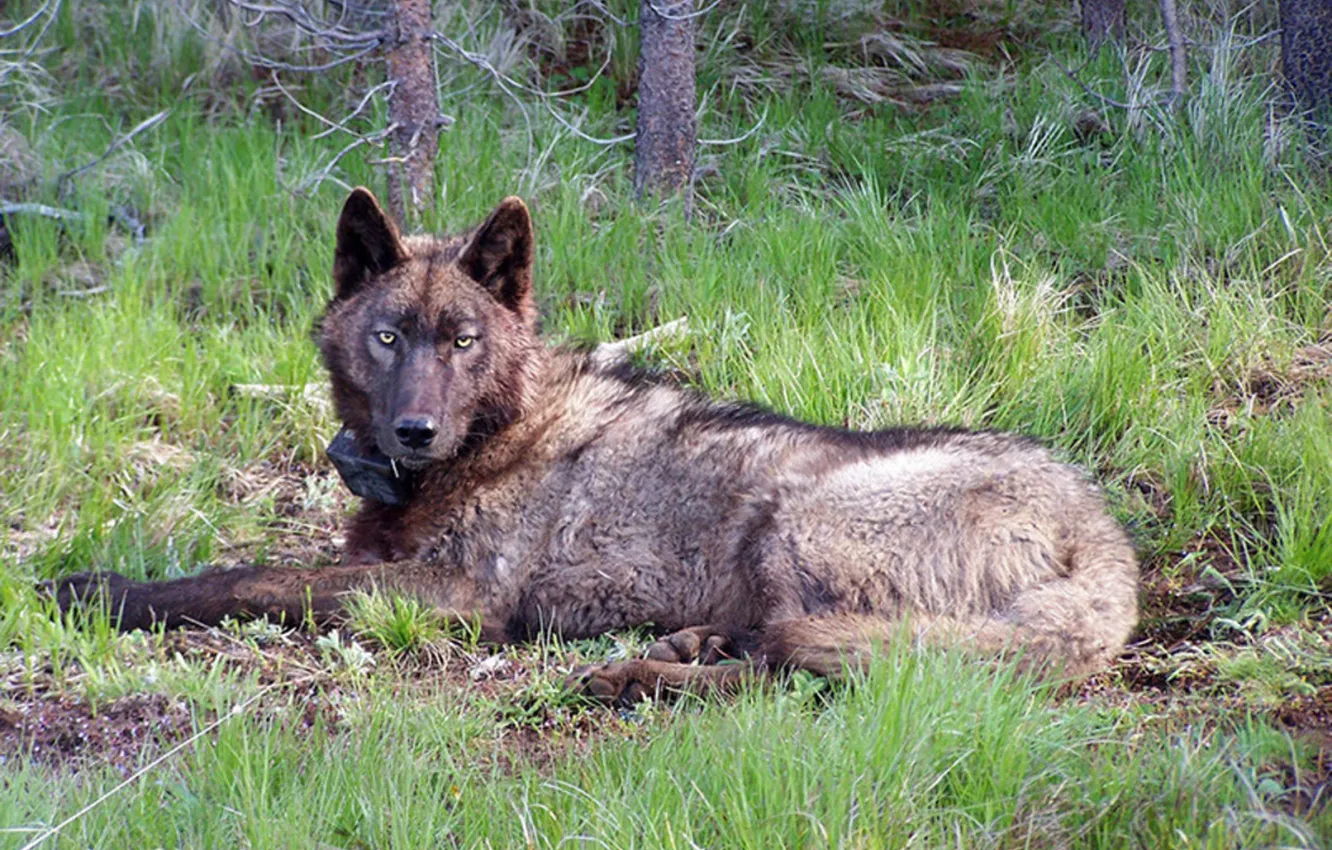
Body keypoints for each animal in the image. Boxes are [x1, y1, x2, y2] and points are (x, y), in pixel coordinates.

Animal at [53, 188, 1139, 703]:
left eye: (463, 341)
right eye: (391, 337)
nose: (414, 430)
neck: (496, 432)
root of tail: (1106, 535)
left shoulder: (455, 597)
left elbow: (249, 579)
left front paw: (101, 590)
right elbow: (266, 568)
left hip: (790, 517)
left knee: (802, 665)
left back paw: (633, 677)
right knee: (796, 652)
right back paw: (684, 646)